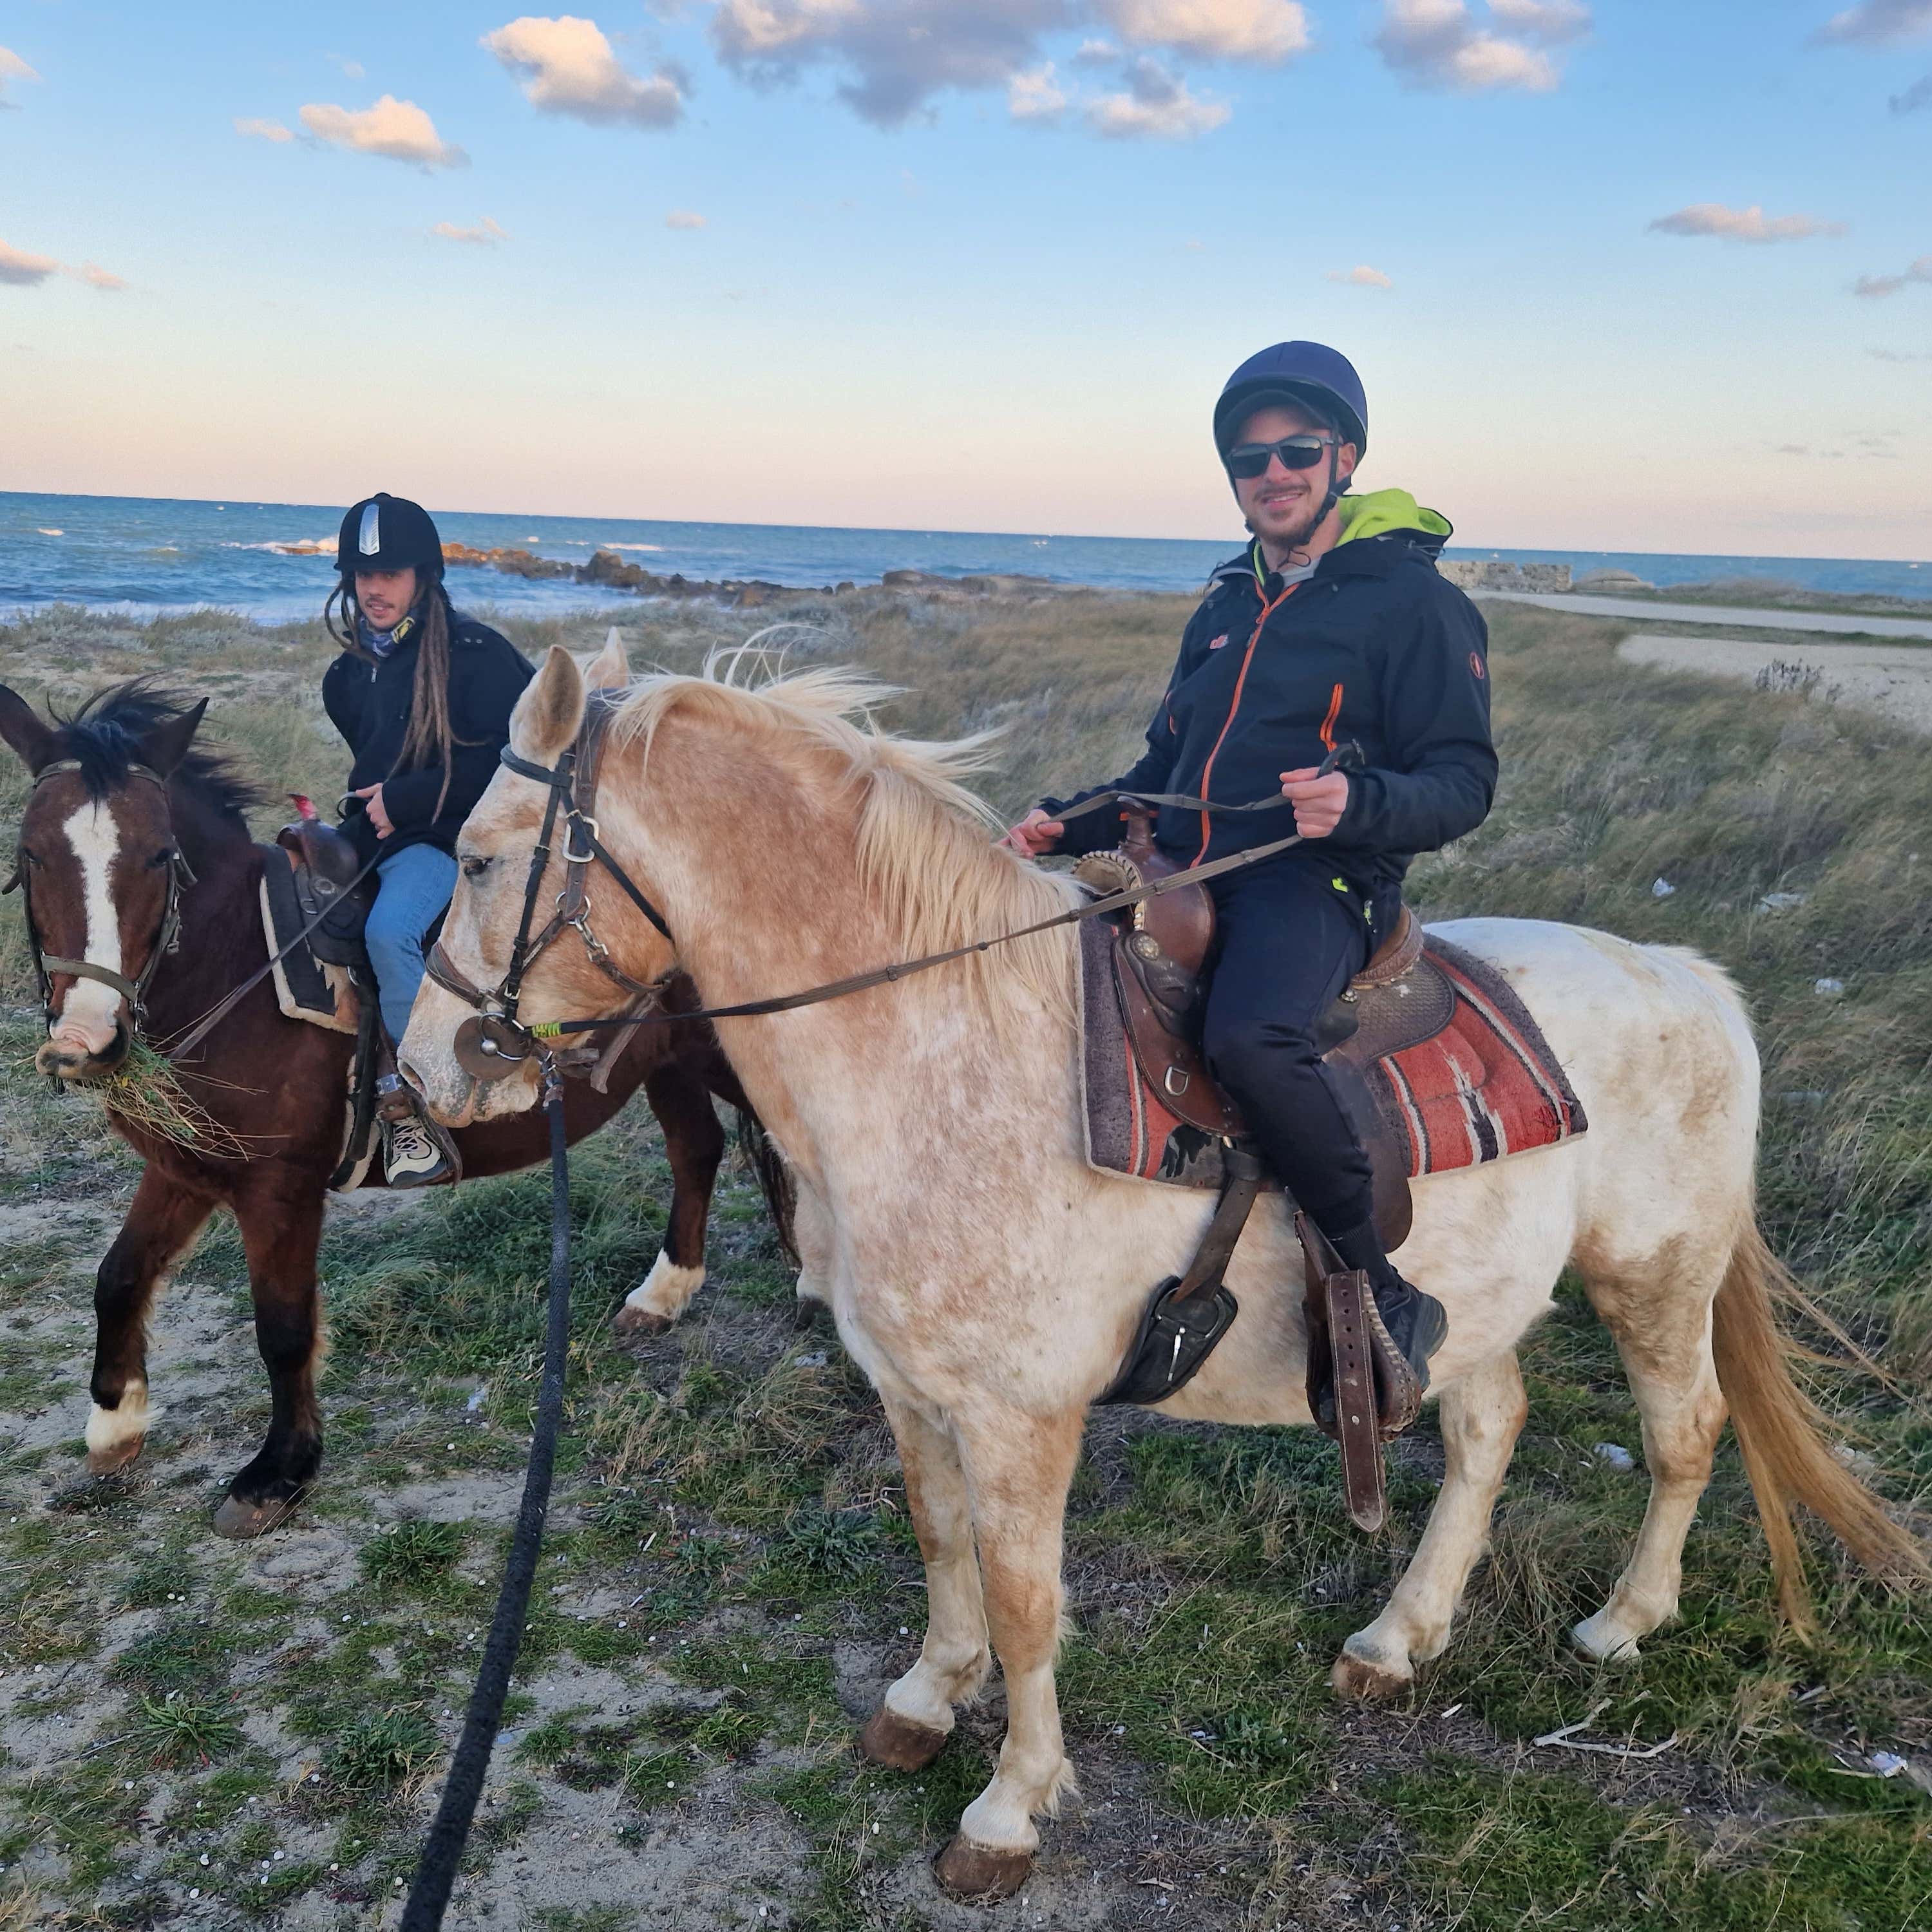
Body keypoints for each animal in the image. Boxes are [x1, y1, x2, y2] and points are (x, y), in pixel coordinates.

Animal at [0, 645, 787, 1539]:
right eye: (30, 855)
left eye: (159, 856)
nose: (86, 1042)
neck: (241, 963)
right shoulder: (183, 1167)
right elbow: (118, 1277)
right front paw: (114, 1421)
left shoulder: (278, 1188)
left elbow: (282, 1327)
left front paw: (278, 1472)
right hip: (666, 1065)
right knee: (698, 1151)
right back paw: (664, 1293)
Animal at [401, 643, 1924, 1900]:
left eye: (474, 859)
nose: (425, 1077)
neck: (939, 1047)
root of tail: (1687, 974)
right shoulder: (911, 1388)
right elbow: (940, 1545)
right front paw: (924, 1700)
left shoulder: (1023, 1417)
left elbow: (1028, 1606)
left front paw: (1009, 1809)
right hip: (1481, 1311)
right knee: (1491, 1434)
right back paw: (1397, 1637)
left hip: (1654, 1277)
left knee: (1686, 1433)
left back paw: (1622, 1624)